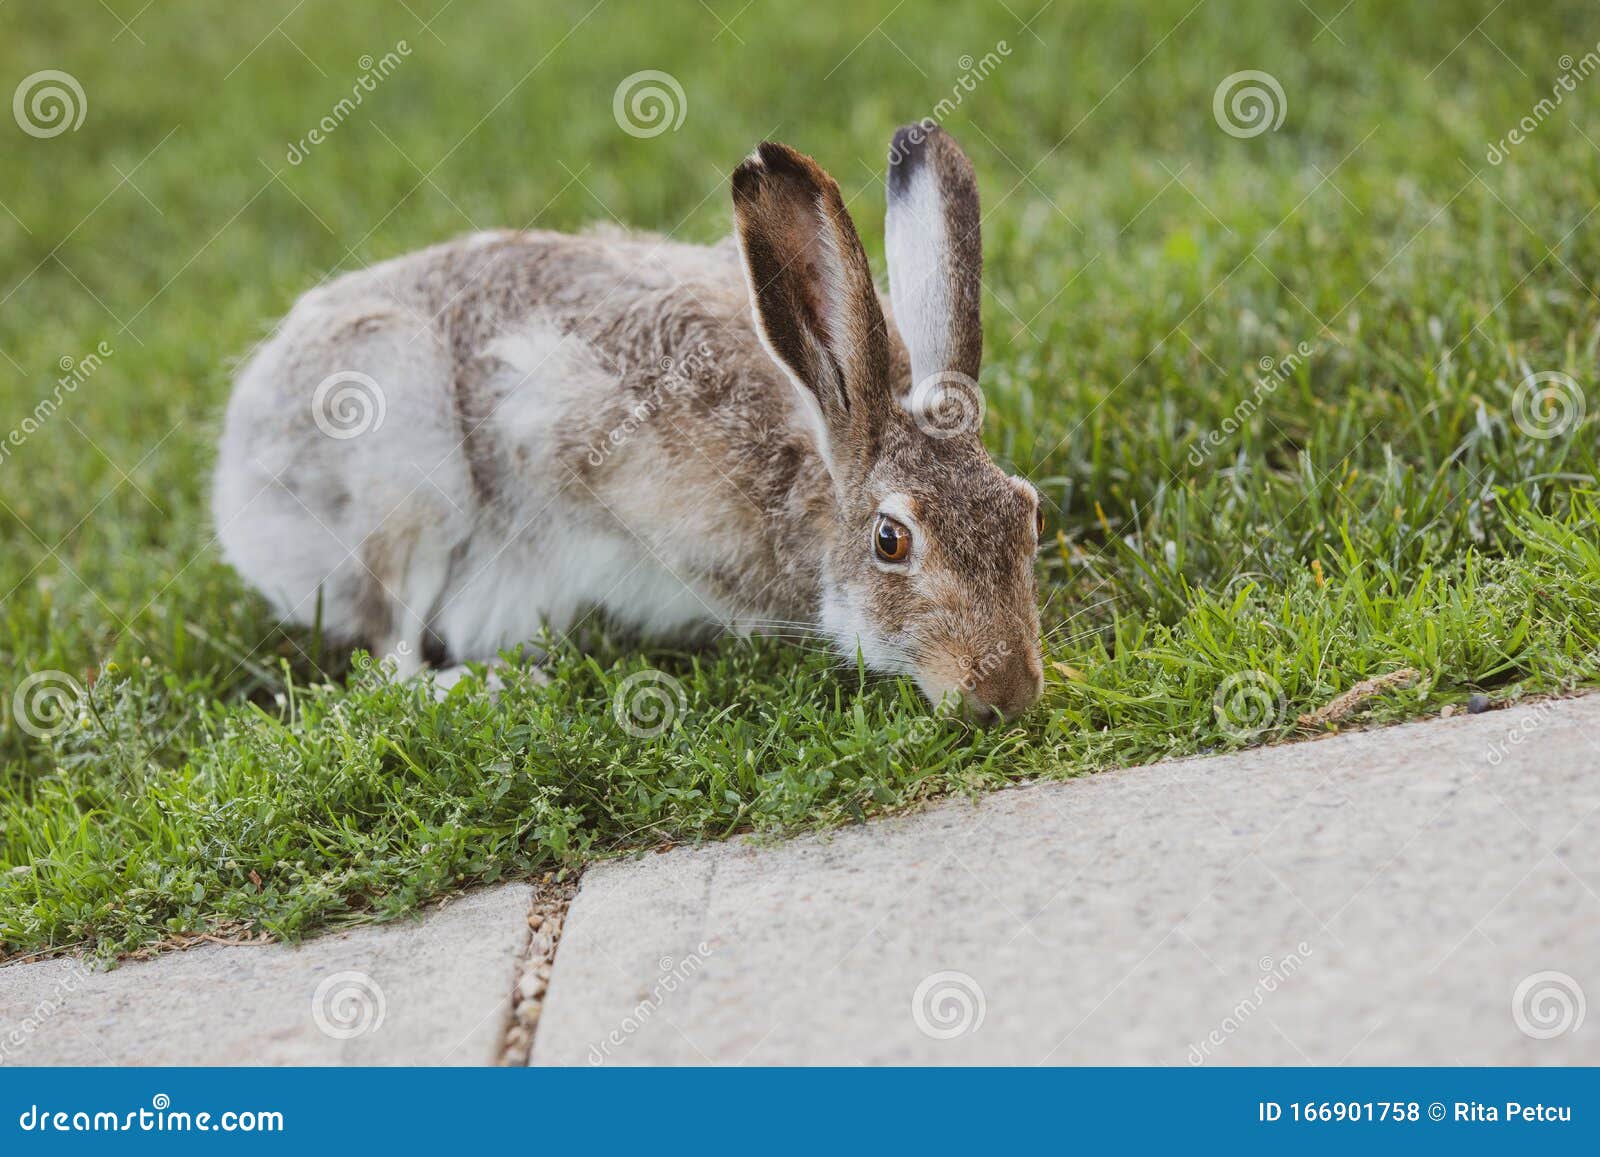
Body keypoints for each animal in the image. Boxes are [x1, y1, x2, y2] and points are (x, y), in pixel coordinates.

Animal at [213, 123, 1045, 721]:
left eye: (1027, 514)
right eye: (890, 540)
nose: (1005, 694)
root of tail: (235, 471)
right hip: (405, 467)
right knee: (387, 658)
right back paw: (497, 684)